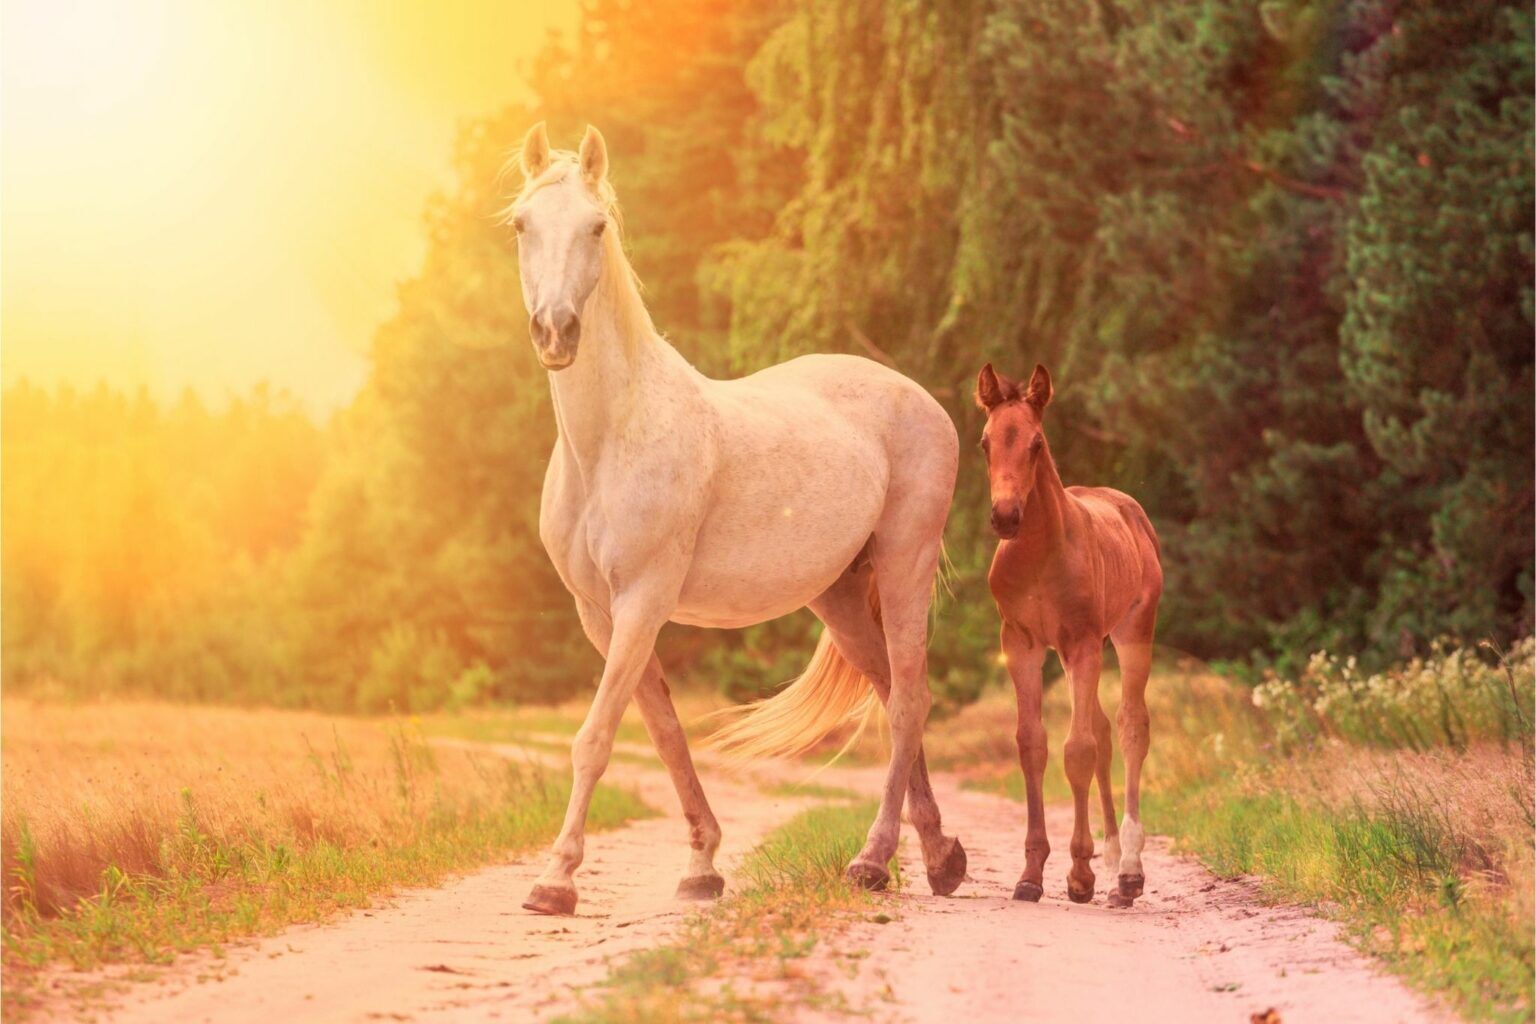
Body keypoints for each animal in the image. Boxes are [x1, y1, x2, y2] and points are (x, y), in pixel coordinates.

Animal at [506, 121, 966, 916]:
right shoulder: (600, 612)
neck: (610, 440)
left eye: (597, 226)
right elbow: (663, 732)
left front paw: (555, 880)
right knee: (888, 697)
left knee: (909, 700)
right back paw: (940, 857)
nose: (555, 331)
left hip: (904, 561)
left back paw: (873, 860)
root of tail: (919, 398)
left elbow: (596, 736)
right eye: (521, 224)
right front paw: (701, 865)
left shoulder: (643, 601)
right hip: (840, 595)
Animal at [974, 362, 1163, 909]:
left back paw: (1129, 872)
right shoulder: (1021, 643)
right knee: (1102, 729)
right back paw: (1114, 858)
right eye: (985, 442)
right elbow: (1031, 744)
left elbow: (1077, 750)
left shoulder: (1081, 643)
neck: (1039, 554)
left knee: (1129, 727)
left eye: (1036, 443)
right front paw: (1031, 874)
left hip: (1130, 632)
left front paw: (1080, 875)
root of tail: (1129, 508)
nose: (1005, 516)